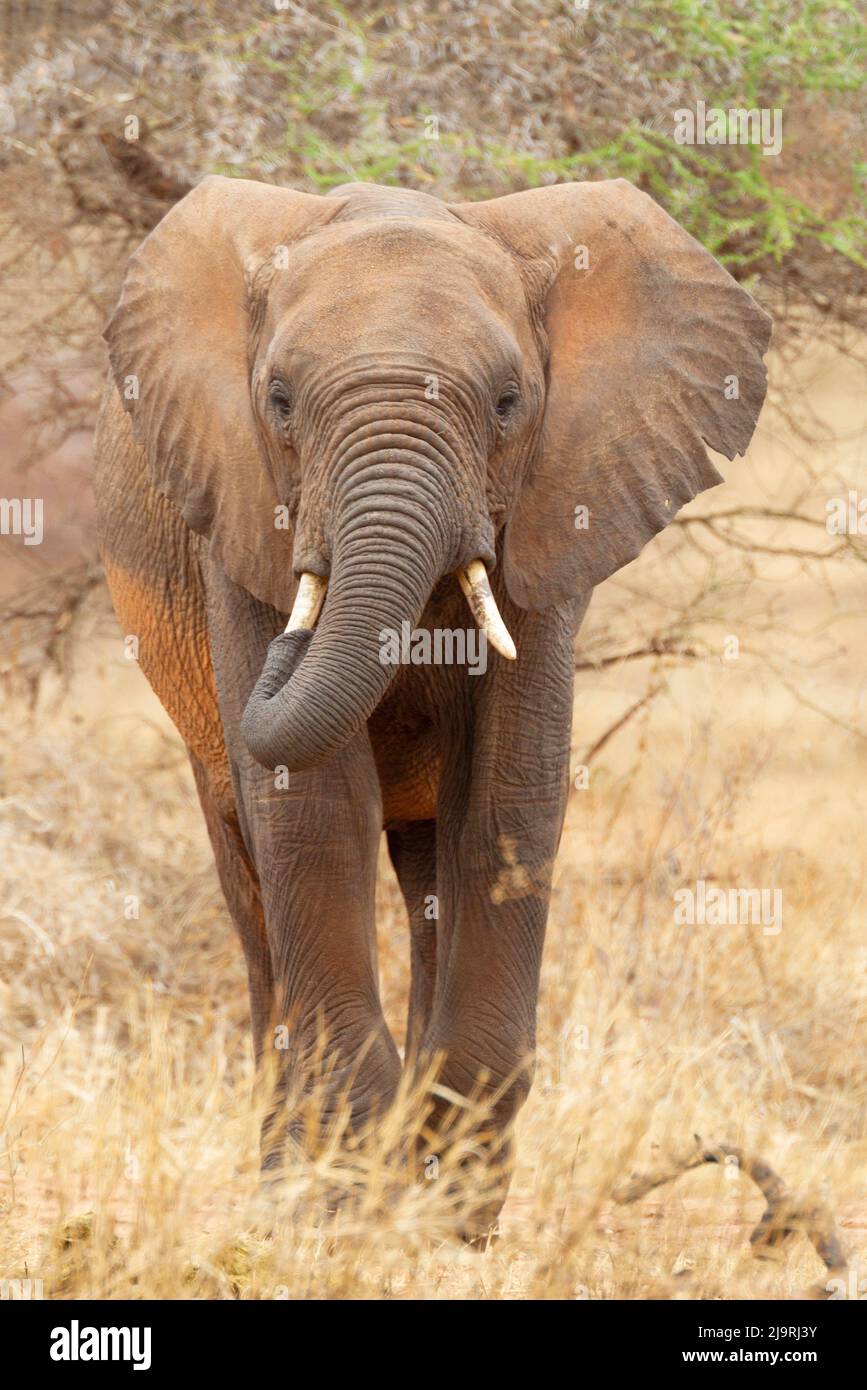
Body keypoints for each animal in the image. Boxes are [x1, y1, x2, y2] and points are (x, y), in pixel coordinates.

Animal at [94, 175, 771, 1233]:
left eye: (508, 403)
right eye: (277, 402)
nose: (282, 656)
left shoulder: (551, 514)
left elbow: (507, 797)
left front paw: (447, 1229)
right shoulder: (235, 520)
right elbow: (308, 805)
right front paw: (341, 1215)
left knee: (425, 877)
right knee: (250, 890)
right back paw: (283, 1189)